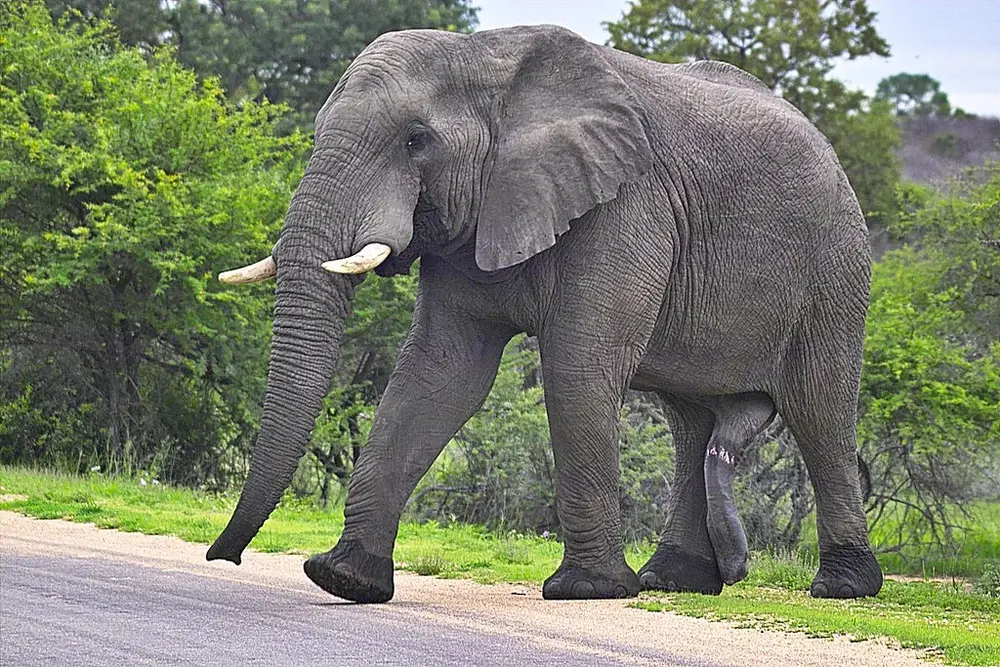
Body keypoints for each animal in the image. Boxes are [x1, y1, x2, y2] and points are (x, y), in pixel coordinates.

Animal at [206, 24, 884, 603]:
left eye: (416, 140)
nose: (222, 557)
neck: (489, 59)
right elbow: (439, 373)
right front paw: (343, 578)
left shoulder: (625, 204)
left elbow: (576, 370)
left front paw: (588, 590)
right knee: (689, 418)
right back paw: (674, 581)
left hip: (835, 273)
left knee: (819, 410)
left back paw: (842, 588)